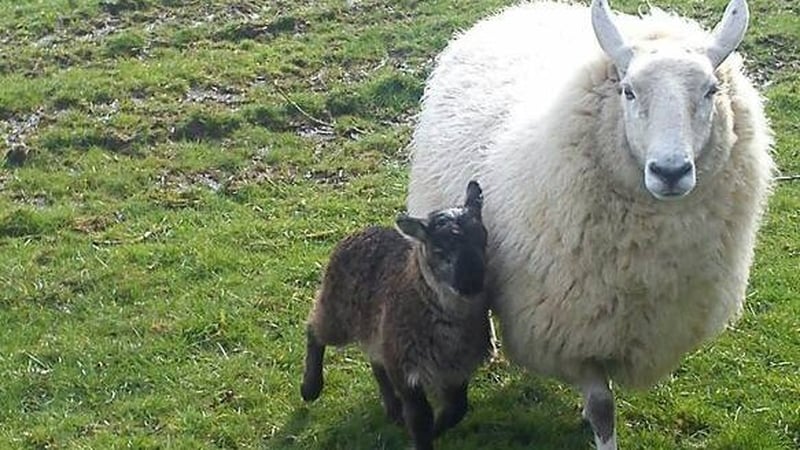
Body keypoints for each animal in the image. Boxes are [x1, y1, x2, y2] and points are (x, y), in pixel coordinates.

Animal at [301, 181, 491, 450]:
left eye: (483, 238)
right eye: (438, 249)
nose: (472, 282)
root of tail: (360, 231)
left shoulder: (455, 370)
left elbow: (457, 410)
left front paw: (431, 431)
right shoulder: (406, 370)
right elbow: (420, 419)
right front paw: (420, 439)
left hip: (377, 332)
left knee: (376, 362)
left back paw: (392, 409)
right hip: (337, 309)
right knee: (314, 330)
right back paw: (310, 388)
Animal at [405, 1, 774, 449]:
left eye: (711, 90)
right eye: (627, 90)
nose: (670, 172)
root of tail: (520, 11)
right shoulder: (575, 327)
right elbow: (603, 408)